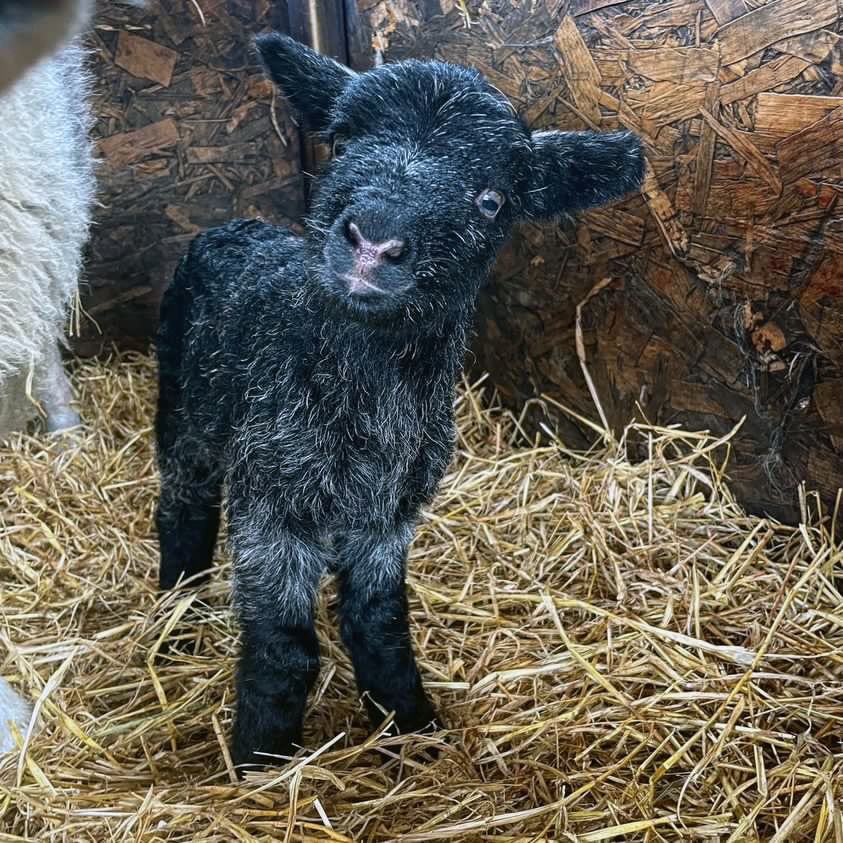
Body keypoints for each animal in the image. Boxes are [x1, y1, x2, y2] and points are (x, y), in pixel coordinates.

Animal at [157, 31, 648, 772]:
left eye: (491, 200)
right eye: (339, 143)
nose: (373, 242)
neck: (363, 402)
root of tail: (233, 224)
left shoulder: (391, 513)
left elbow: (379, 621)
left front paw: (410, 726)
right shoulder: (273, 499)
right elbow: (283, 646)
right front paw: (260, 761)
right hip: (182, 407)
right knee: (181, 508)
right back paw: (173, 619)